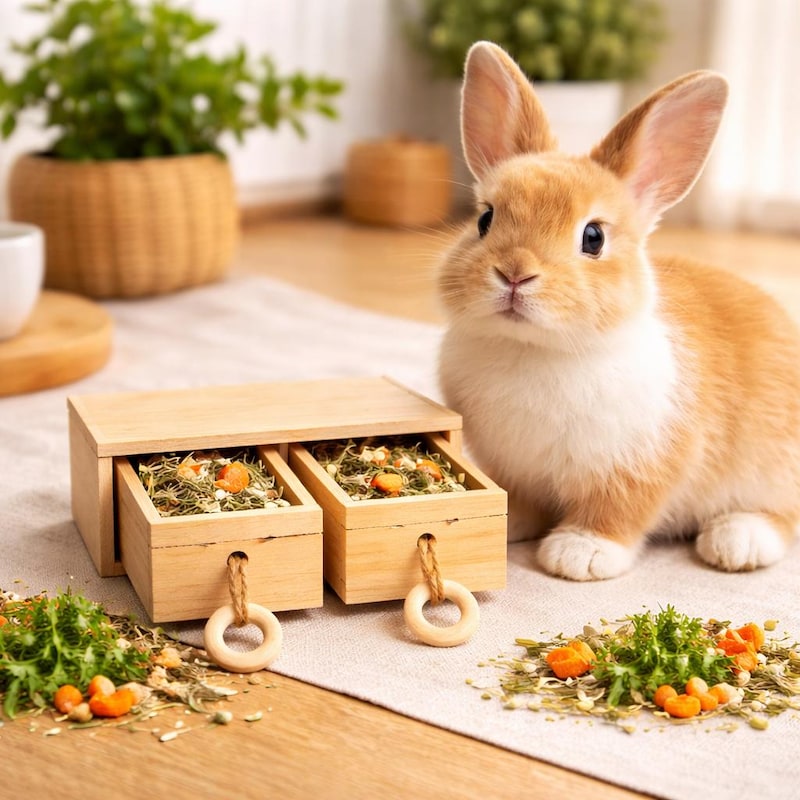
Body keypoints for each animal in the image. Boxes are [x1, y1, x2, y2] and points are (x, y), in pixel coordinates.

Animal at [437, 41, 800, 580]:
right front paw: (507, 523)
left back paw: (737, 541)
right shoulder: (513, 468)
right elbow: (520, 498)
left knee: (785, 515)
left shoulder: (644, 466)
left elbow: (618, 511)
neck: (536, 348)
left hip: (774, 466)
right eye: (485, 219)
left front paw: (580, 554)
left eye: (593, 237)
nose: (515, 273)